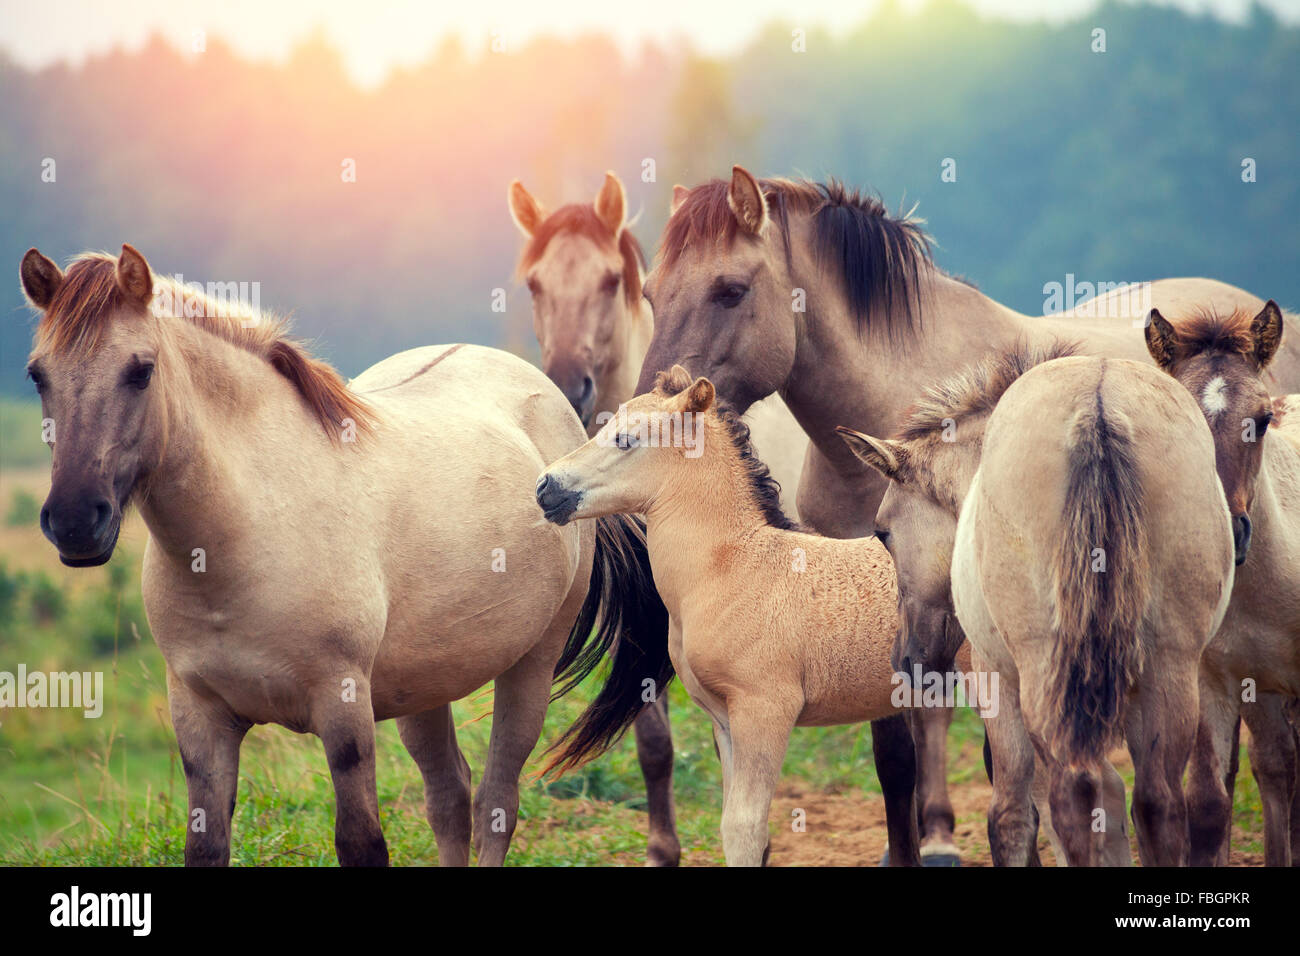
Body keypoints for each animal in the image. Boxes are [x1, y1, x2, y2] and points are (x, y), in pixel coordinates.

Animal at [19, 244, 665, 866]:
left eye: (141, 371)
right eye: (37, 376)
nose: (75, 521)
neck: (246, 535)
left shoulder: (343, 710)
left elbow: (362, 843)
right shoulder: (200, 718)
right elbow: (205, 847)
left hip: (531, 663)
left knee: (495, 802)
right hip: (423, 687)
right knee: (449, 796)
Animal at [534, 366, 925, 866]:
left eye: (625, 439)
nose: (545, 487)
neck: (733, 567)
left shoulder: (765, 710)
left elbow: (745, 827)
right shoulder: (723, 718)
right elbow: (730, 824)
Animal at [841, 348, 1236, 865]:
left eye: (882, 532)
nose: (904, 661)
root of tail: (1098, 405)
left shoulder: (997, 682)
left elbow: (1013, 816)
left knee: (1071, 799)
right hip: (1171, 671)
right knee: (1157, 805)